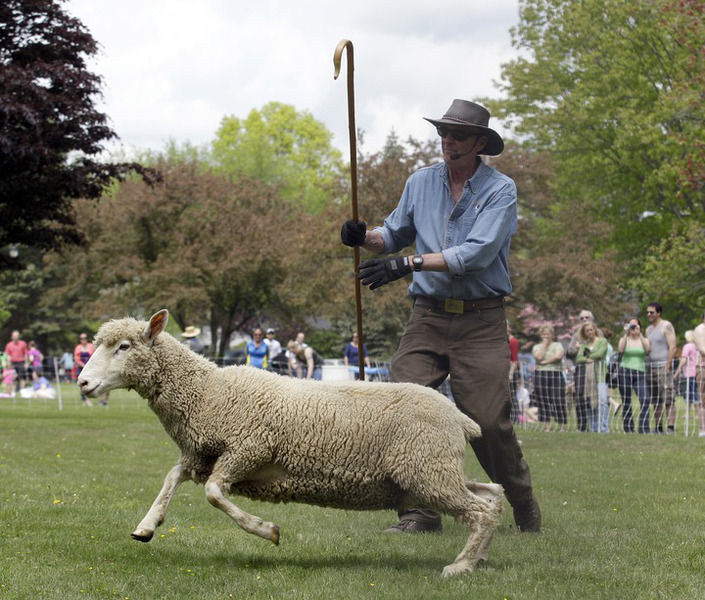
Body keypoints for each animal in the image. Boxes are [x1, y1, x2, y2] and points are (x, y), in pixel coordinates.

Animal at [77, 309, 503, 576]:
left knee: (480, 510)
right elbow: (170, 479)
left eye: (124, 347)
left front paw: (268, 530)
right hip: (433, 470)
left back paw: (461, 566)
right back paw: (480, 557)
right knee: (493, 494)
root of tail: (459, 418)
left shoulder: (248, 448)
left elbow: (214, 493)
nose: (82, 382)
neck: (207, 392)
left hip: (426, 470)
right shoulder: (202, 453)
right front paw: (146, 526)